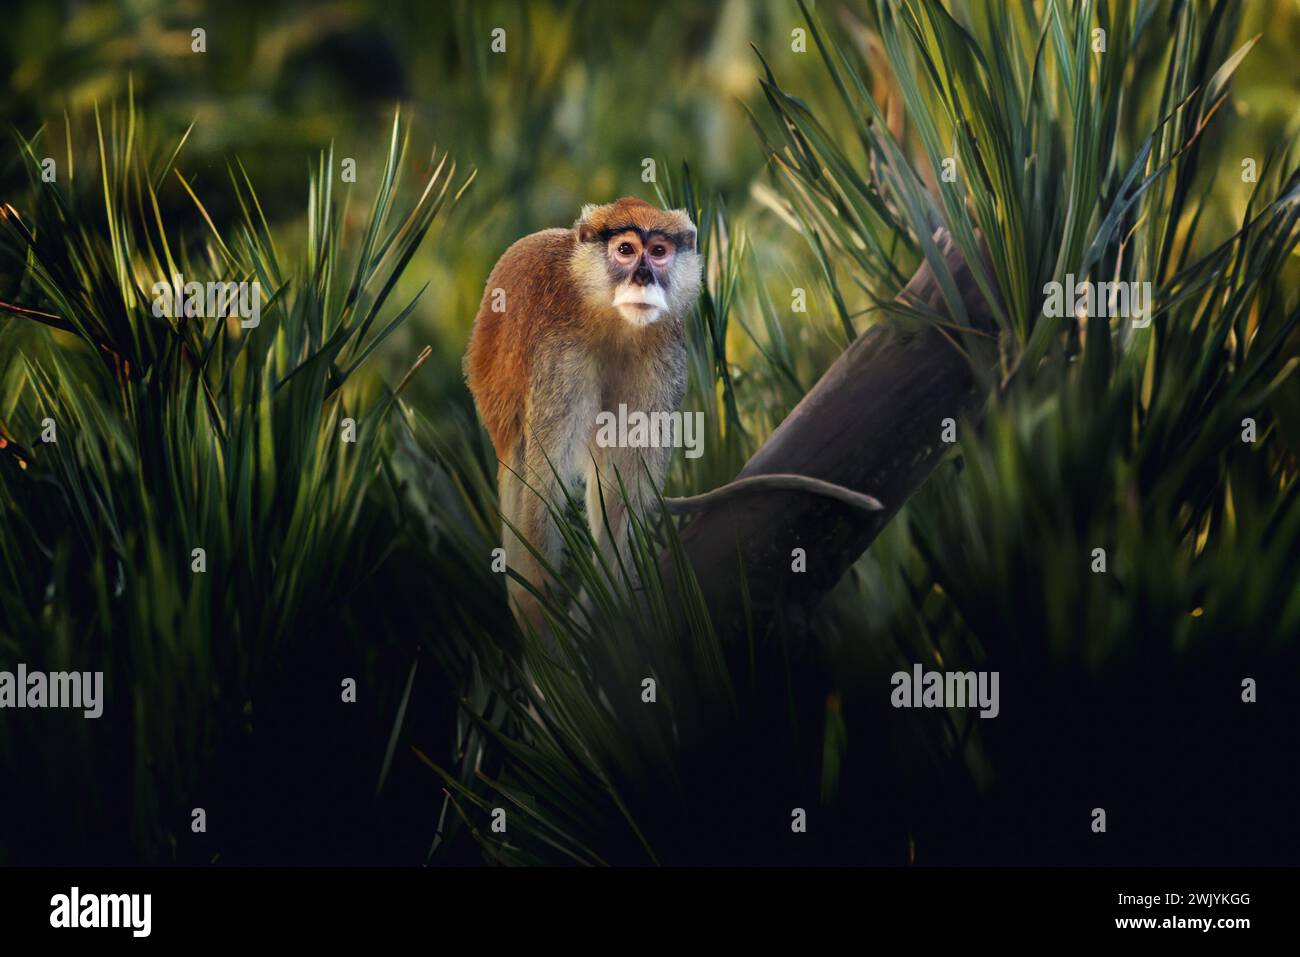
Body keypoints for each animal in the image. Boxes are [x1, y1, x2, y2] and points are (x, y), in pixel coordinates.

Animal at [465, 197, 883, 633]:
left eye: (659, 252)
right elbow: (543, 487)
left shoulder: (662, 353)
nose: (644, 276)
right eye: (626, 250)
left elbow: (625, 490)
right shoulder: (561, 355)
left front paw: (607, 610)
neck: (603, 312)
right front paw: (553, 630)